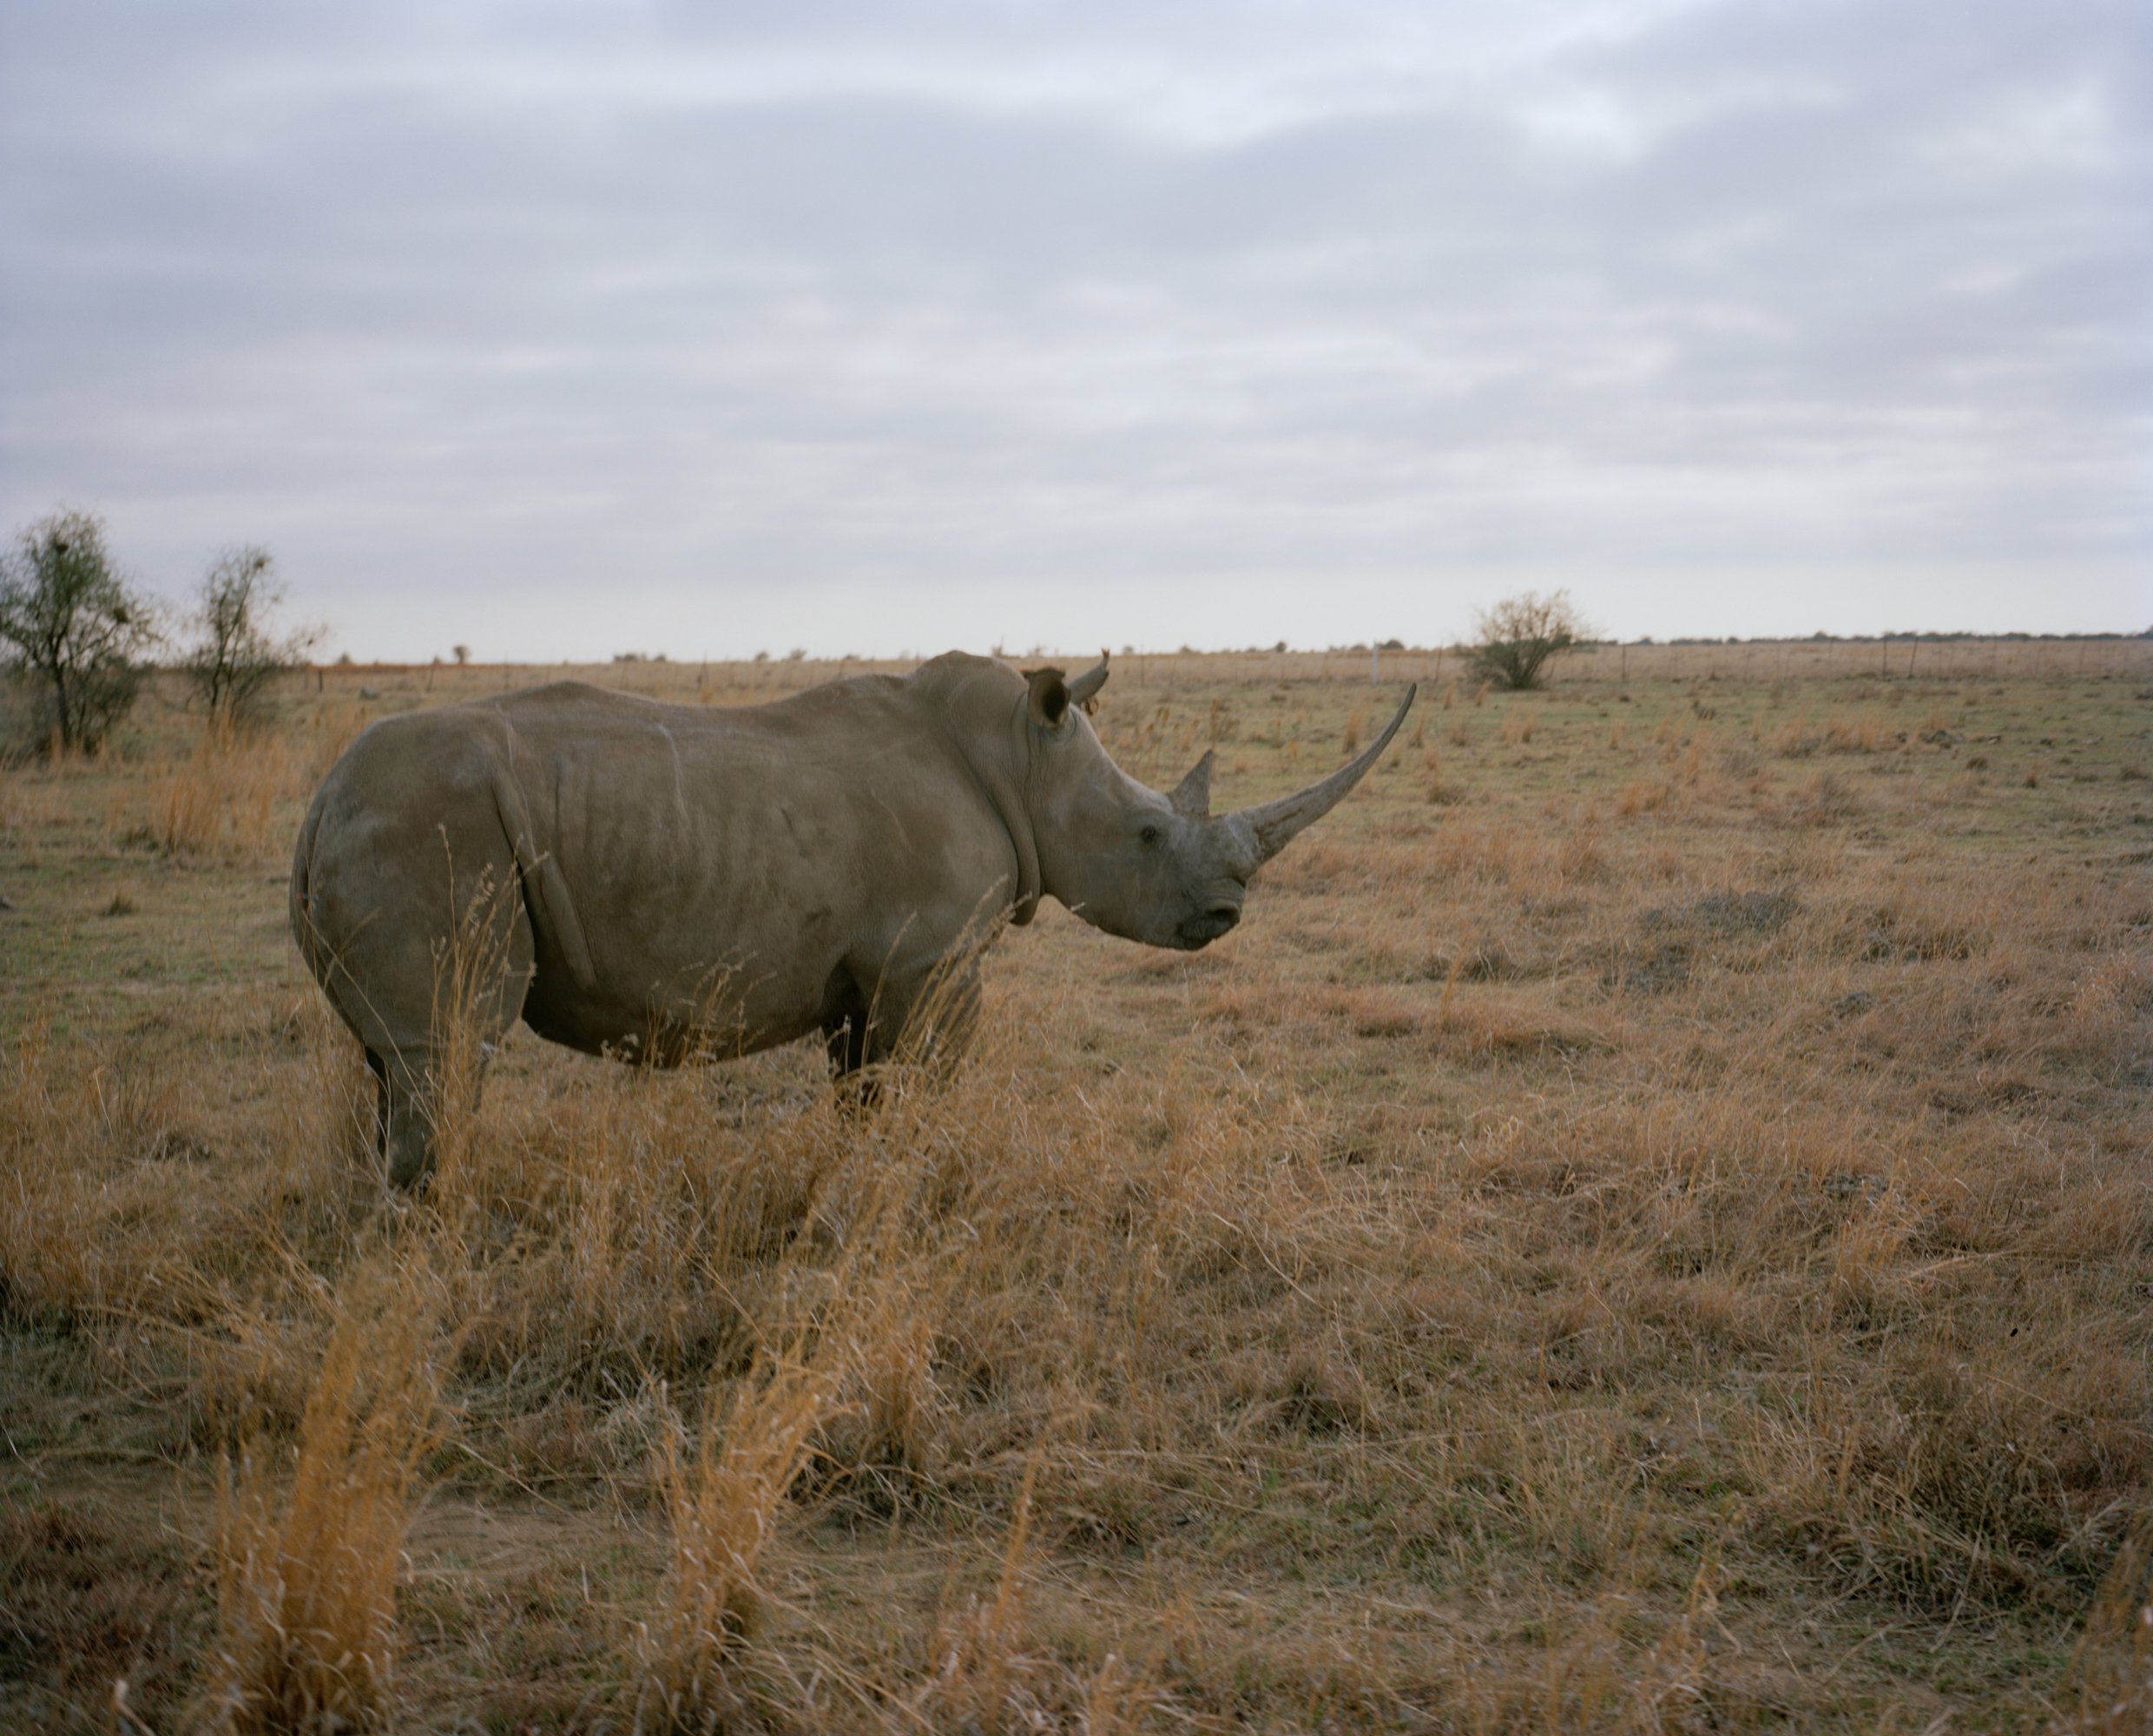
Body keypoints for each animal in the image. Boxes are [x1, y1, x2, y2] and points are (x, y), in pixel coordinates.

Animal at [291, 651, 1413, 1186]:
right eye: (1145, 832)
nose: (1227, 911)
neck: (1022, 758)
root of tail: (316, 804)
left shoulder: (867, 973)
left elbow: (861, 1099)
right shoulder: (931, 960)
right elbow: (922, 1091)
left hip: (406, 823)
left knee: (395, 1061)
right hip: (432, 825)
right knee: (446, 1047)